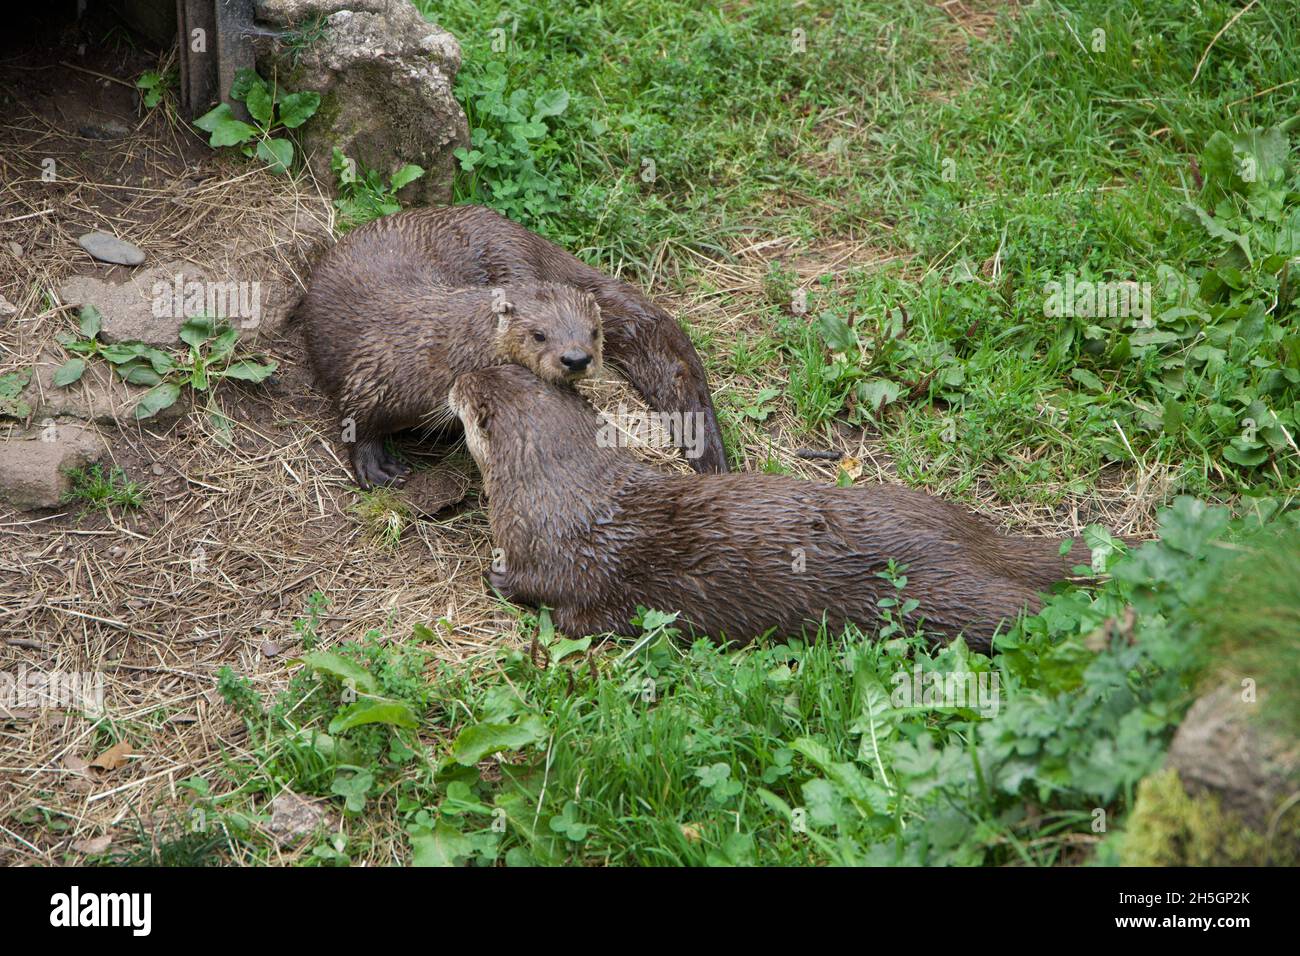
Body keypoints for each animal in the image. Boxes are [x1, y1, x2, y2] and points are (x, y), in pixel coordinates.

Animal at [302, 263, 602, 487]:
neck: (446, 345)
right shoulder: (374, 370)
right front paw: (376, 467)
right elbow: (355, 421)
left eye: (594, 331)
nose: (576, 358)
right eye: (539, 335)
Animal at [450, 365, 1097, 652]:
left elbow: (544, 597)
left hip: (940, 597)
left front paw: (498, 579)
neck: (568, 499)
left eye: (471, 390)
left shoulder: (556, 561)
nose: (456, 376)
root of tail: (966, 534)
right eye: (502, 366)